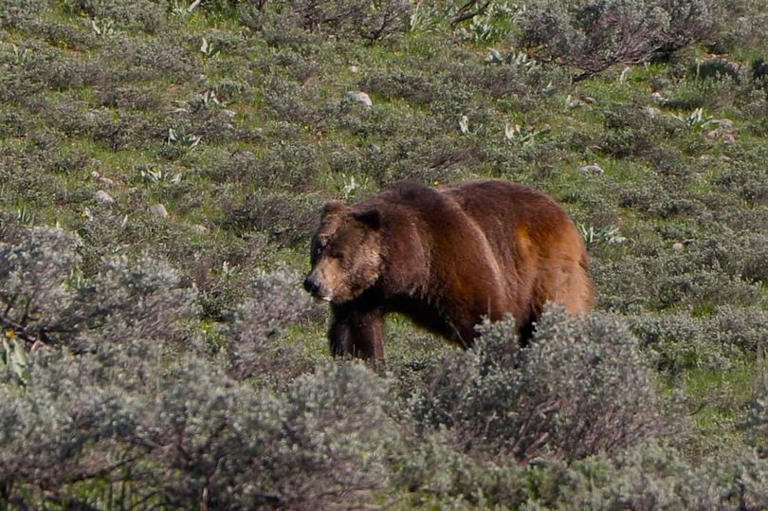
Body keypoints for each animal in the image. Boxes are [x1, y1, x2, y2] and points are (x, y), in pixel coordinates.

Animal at [303, 179, 594, 360]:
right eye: (318, 248)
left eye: (339, 254)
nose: (313, 283)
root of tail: (568, 222)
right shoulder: (363, 298)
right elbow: (356, 338)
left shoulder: (458, 256)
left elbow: (486, 318)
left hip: (547, 272)